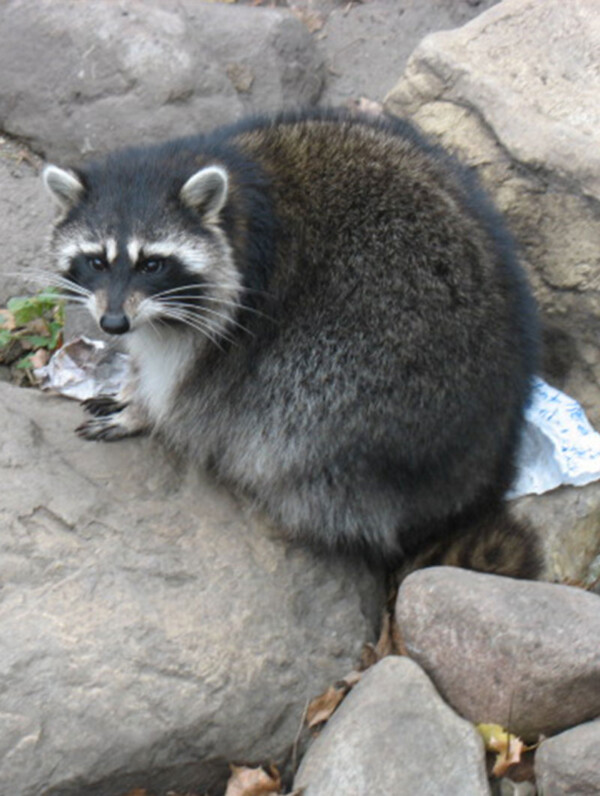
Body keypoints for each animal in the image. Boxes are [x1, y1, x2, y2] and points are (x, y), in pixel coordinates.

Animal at [42, 109, 540, 578]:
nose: (113, 323)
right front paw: (133, 383)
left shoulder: (236, 317)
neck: (236, 203)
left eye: (152, 264)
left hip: (381, 378)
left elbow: (185, 386)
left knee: (295, 409)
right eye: (96, 261)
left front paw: (146, 410)